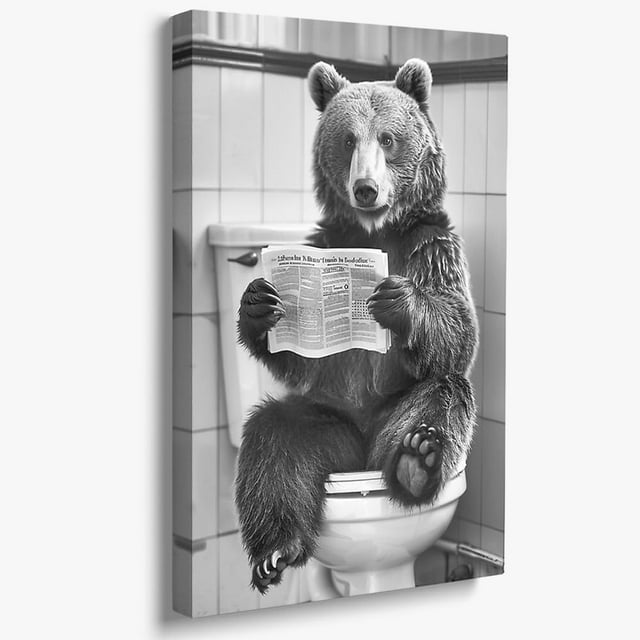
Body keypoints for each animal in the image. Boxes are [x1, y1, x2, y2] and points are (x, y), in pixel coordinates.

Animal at [234, 58, 478, 593]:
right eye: (347, 139)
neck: (376, 231)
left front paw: (398, 300)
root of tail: (364, 454)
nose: (366, 188)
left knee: (444, 394)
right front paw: (259, 303)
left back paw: (416, 462)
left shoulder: (431, 245)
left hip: (395, 411)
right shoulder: (325, 242)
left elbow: (458, 328)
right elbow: (299, 359)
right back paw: (274, 550)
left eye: (387, 138)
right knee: (275, 442)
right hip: (328, 420)